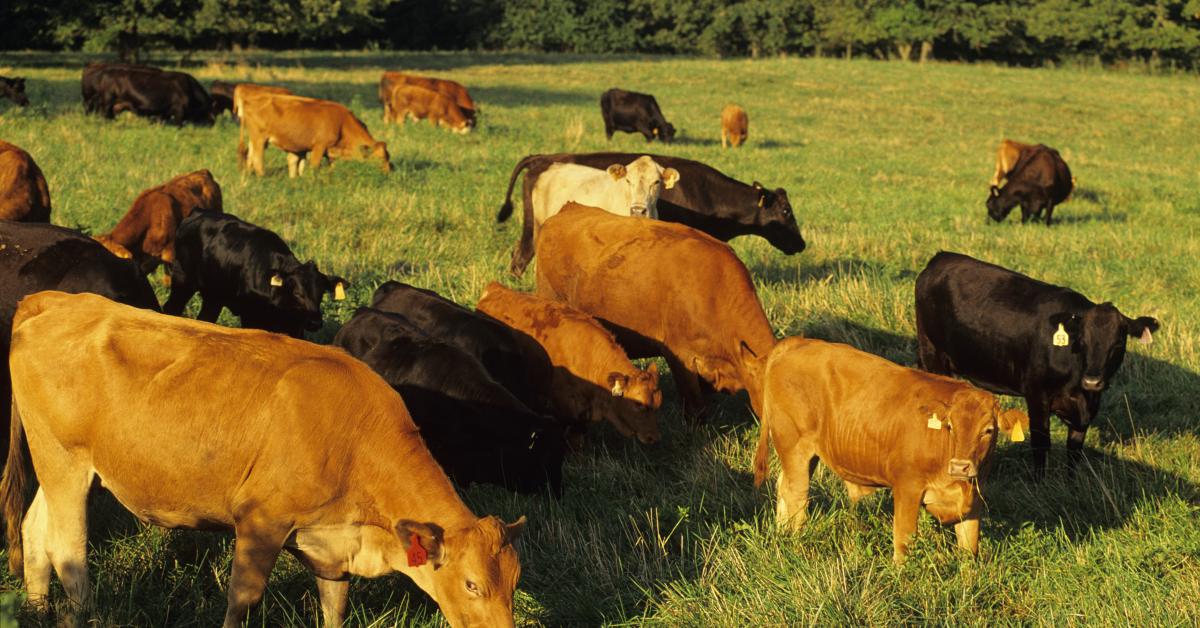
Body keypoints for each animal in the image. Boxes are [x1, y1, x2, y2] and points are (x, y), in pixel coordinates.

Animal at [0, 291, 526, 628]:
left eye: (515, 583)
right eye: (472, 585)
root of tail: (54, 301)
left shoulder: (332, 541)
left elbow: (334, 605)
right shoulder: (260, 522)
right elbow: (243, 601)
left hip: (61, 467)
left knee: (34, 529)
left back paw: (37, 609)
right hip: (64, 464)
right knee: (68, 550)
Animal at [162, 211, 348, 338]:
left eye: (322, 293)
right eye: (297, 293)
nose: (315, 322)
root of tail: (198, 212)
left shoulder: (295, 326)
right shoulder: (250, 315)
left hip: (213, 296)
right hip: (182, 280)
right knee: (171, 308)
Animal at [239, 93, 391, 177]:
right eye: (381, 159)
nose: (388, 173)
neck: (342, 123)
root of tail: (249, 99)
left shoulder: (329, 153)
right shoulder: (319, 146)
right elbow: (314, 166)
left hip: (255, 141)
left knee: (249, 158)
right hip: (259, 139)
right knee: (257, 160)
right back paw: (261, 177)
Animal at [752, 336, 1030, 561]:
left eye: (988, 430)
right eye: (950, 426)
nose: (960, 466)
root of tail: (797, 342)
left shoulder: (974, 499)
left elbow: (969, 547)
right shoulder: (907, 487)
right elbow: (904, 540)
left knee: (782, 487)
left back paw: (781, 533)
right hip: (795, 447)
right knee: (796, 497)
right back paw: (794, 542)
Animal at [915, 251, 1159, 476]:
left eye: (1117, 344)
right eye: (1082, 341)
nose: (1092, 381)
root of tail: (942, 257)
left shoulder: (1086, 409)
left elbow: (1075, 449)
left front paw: (1071, 484)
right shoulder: (1037, 394)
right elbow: (1041, 445)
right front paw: (1040, 483)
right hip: (932, 353)